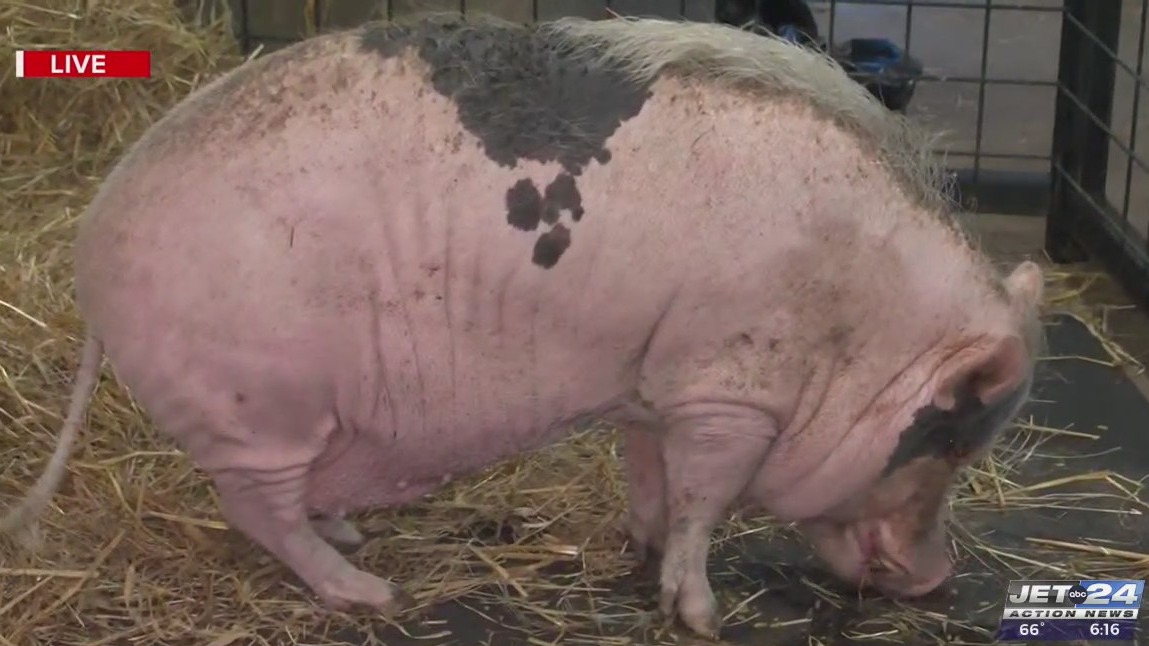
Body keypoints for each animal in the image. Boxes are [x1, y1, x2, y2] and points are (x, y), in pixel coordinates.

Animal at [0, 14, 1045, 639]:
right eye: (952, 444)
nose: (938, 579)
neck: (857, 323)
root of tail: (91, 247)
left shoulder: (654, 381)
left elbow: (652, 477)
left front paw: (637, 548)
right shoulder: (728, 389)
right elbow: (705, 502)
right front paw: (702, 616)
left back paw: (352, 535)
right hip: (254, 411)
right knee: (256, 509)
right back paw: (368, 589)